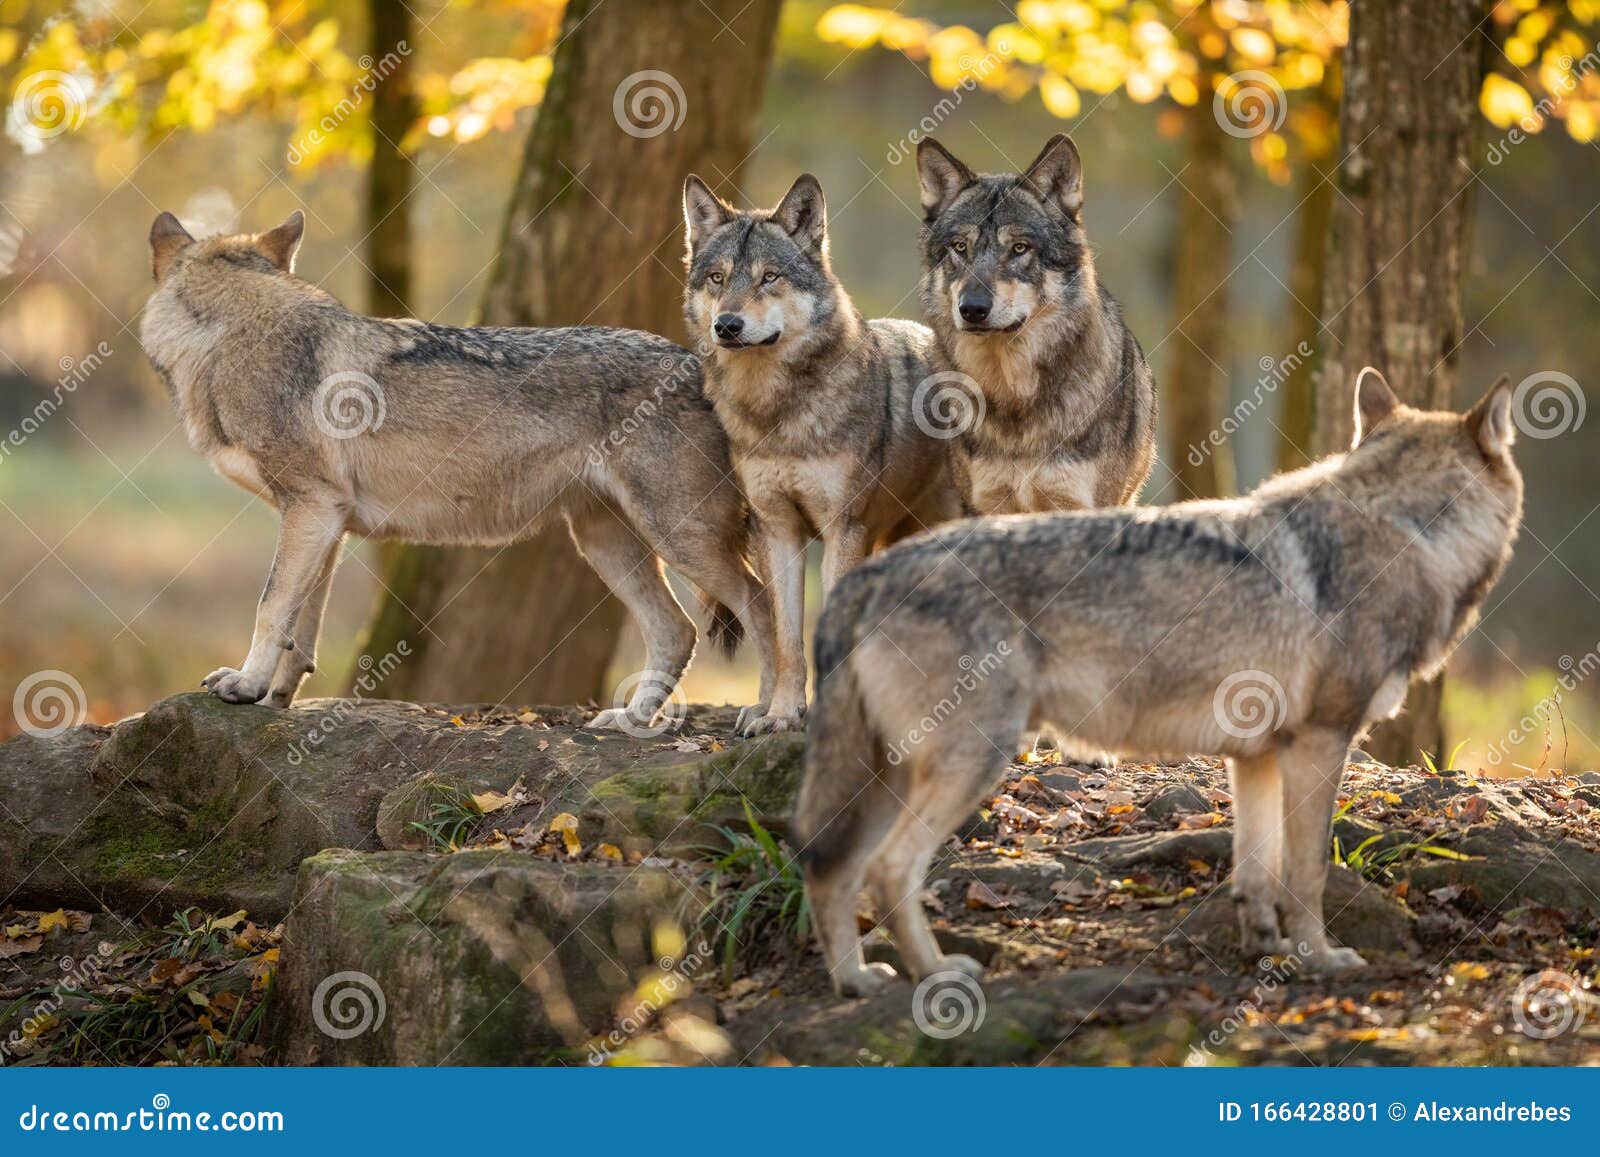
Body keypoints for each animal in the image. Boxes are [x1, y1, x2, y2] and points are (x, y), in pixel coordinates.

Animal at [139, 209, 774, 729]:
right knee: (678, 630)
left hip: (679, 538)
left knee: (764, 606)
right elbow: (303, 629)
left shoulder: (310, 510)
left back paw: (772, 718)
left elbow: (270, 607)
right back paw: (633, 720)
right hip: (606, 543)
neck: (230, 340)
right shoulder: (326, 522)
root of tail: (703, 364)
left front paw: (246, 686)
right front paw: (277, 699)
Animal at [682, 173, 961, 736]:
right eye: (718, 278)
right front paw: (781, 714)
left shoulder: (841, 529)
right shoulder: (777, 530)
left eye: (769, 278)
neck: (779, 412)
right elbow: (788, 639)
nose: (727, 325)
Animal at [795, 370, 1522, 994]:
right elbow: (1308, 873)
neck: (1408, 531)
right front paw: (1320, 958)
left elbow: (1258, 873)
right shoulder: (1319, 743)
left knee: (831, 870)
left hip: (888, 777)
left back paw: (855, 981)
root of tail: (865, 578)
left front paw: (1266, 950)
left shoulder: (1258, 757)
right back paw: (938, 976)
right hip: (969, 762)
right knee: (888, 871)